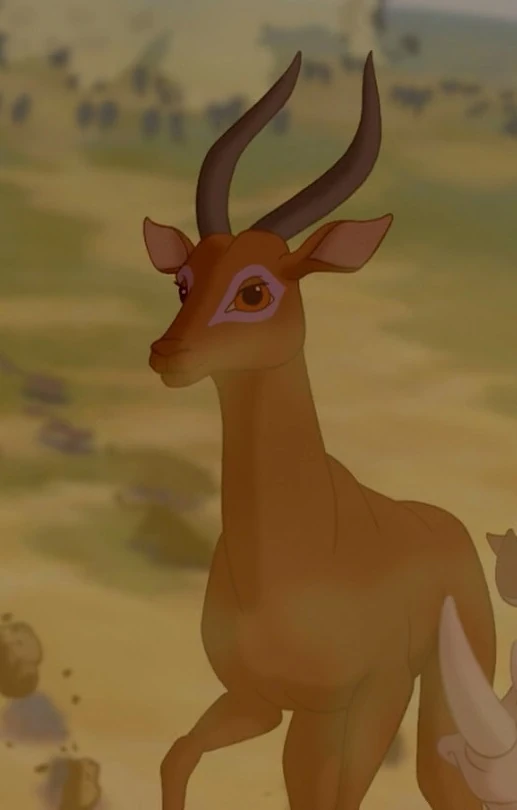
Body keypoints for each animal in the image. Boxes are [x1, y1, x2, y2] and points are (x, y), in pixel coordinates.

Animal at [144, 51, 496, 810]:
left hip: (435, 696)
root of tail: (449, 524)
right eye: (184, 280)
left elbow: (326, 797)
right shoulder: (258, 701)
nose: (166, 352)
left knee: (442, 780)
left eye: (253, 289)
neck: (293, 557)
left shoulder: (353, 702)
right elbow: (177, 757)